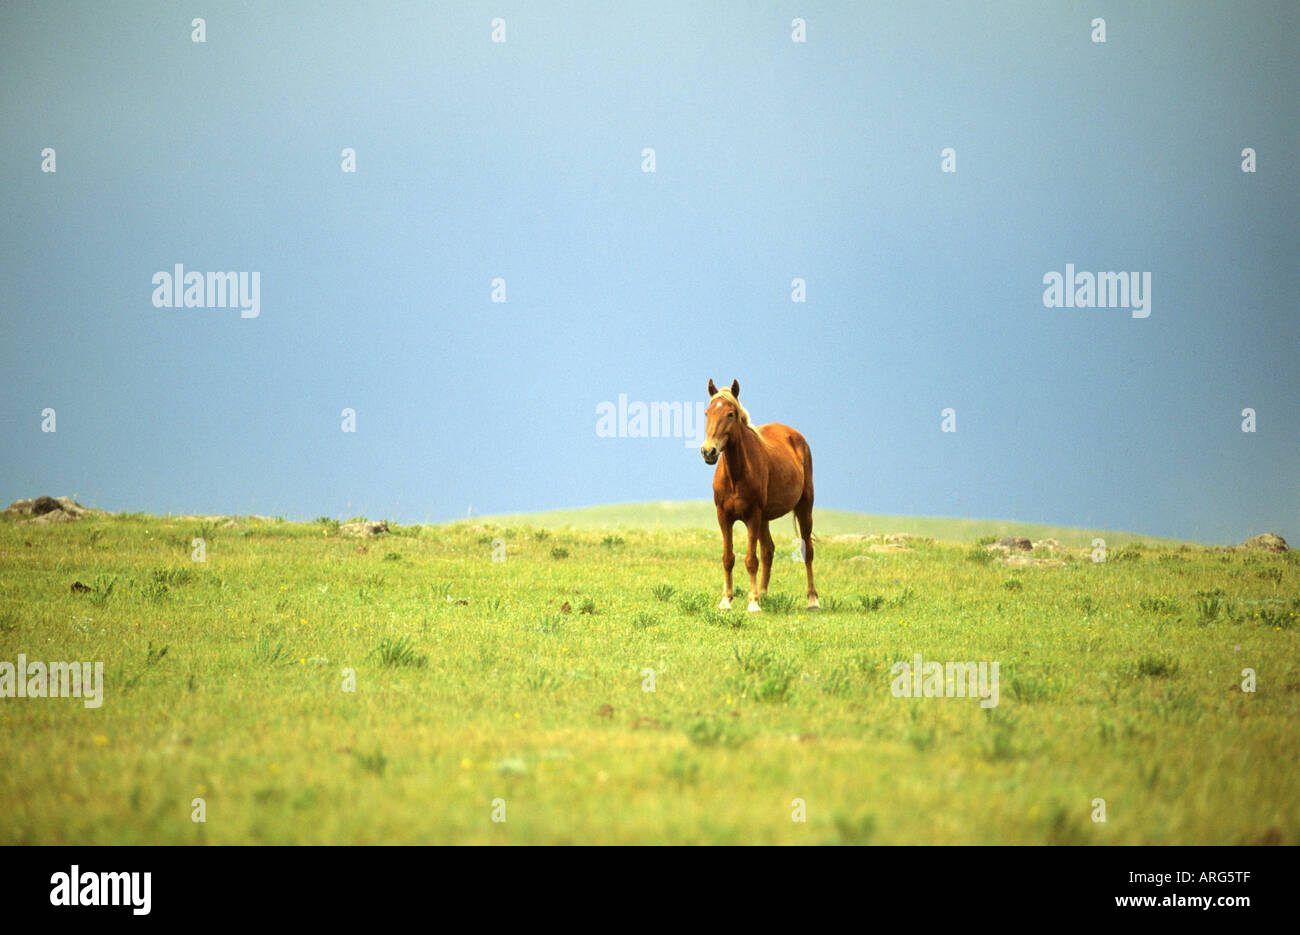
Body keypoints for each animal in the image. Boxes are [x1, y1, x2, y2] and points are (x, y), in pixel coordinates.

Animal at [699, 379, 818, 613]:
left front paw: (752, 603)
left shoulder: (752, 516)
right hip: (765, 518)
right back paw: (763, 594)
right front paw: (726, 600)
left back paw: (812, 600)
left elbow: (751, 560)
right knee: (768, 551)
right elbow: (728, 558)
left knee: (807, 551)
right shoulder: (724, 517)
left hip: (803, 507)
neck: (736, 475)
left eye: (730, 414)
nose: (709, 451)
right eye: (707, 413)